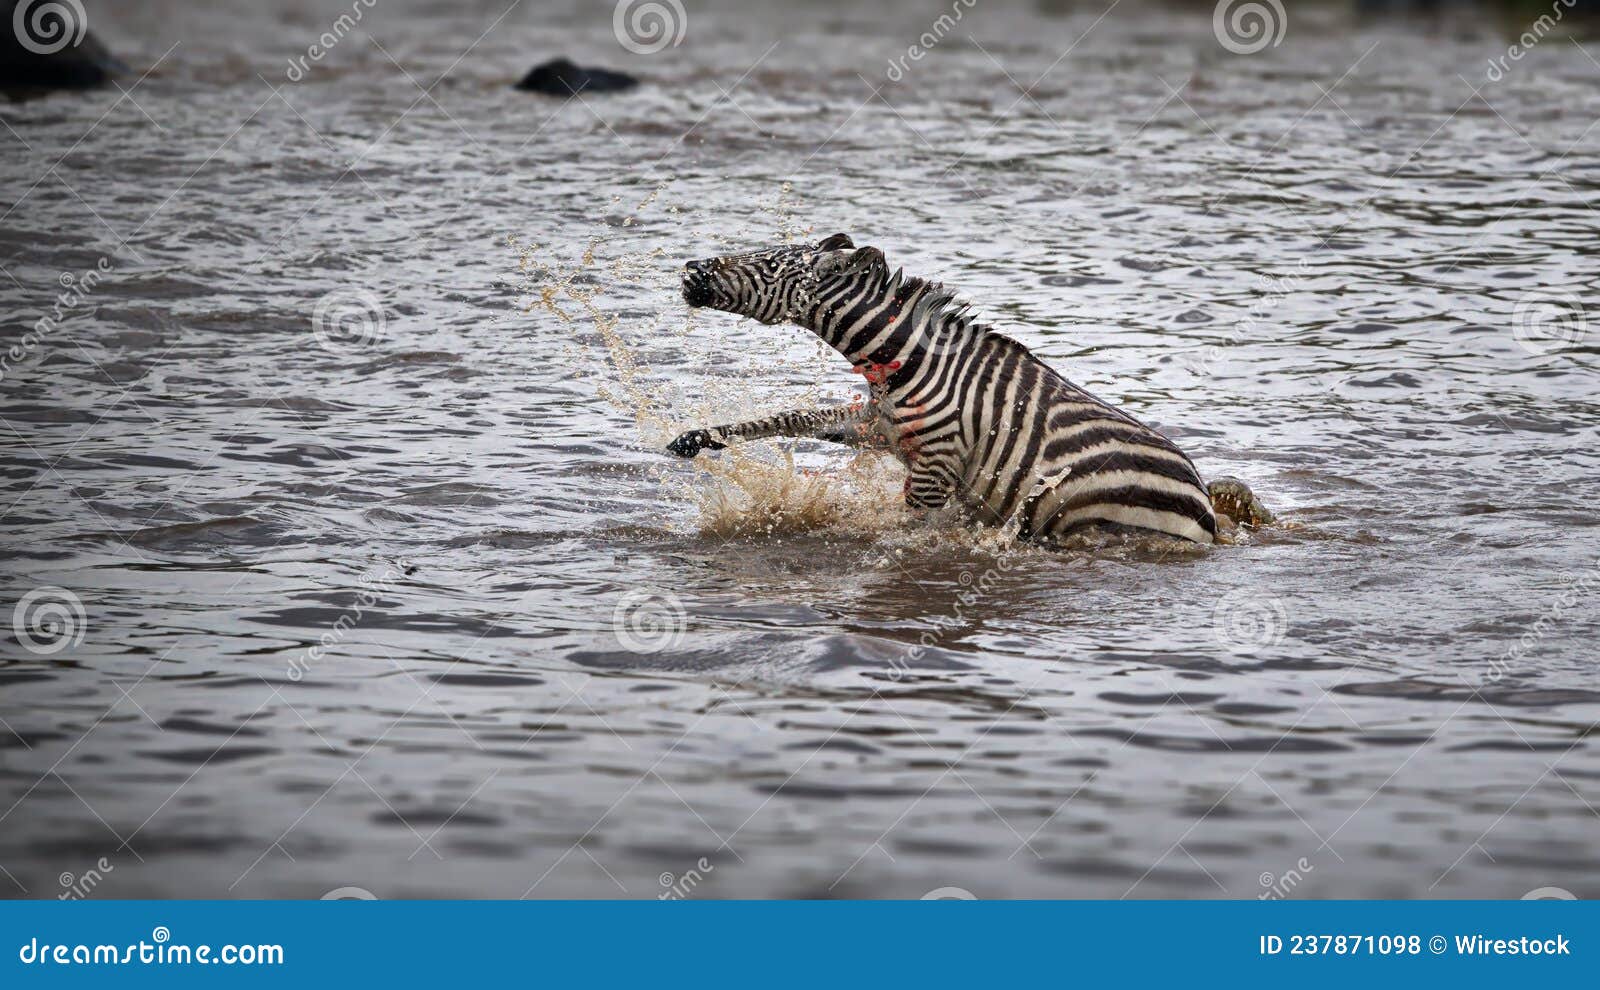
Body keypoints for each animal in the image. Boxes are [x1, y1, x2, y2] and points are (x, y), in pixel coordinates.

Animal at [669, 233, 1270, 544]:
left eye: (768, 264)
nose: (691, 268)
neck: (909, 361)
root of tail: (1201, 495)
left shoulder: (935, 467)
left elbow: (911, 533)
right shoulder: (876, 427)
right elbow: (794, 417)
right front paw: (696, 439)